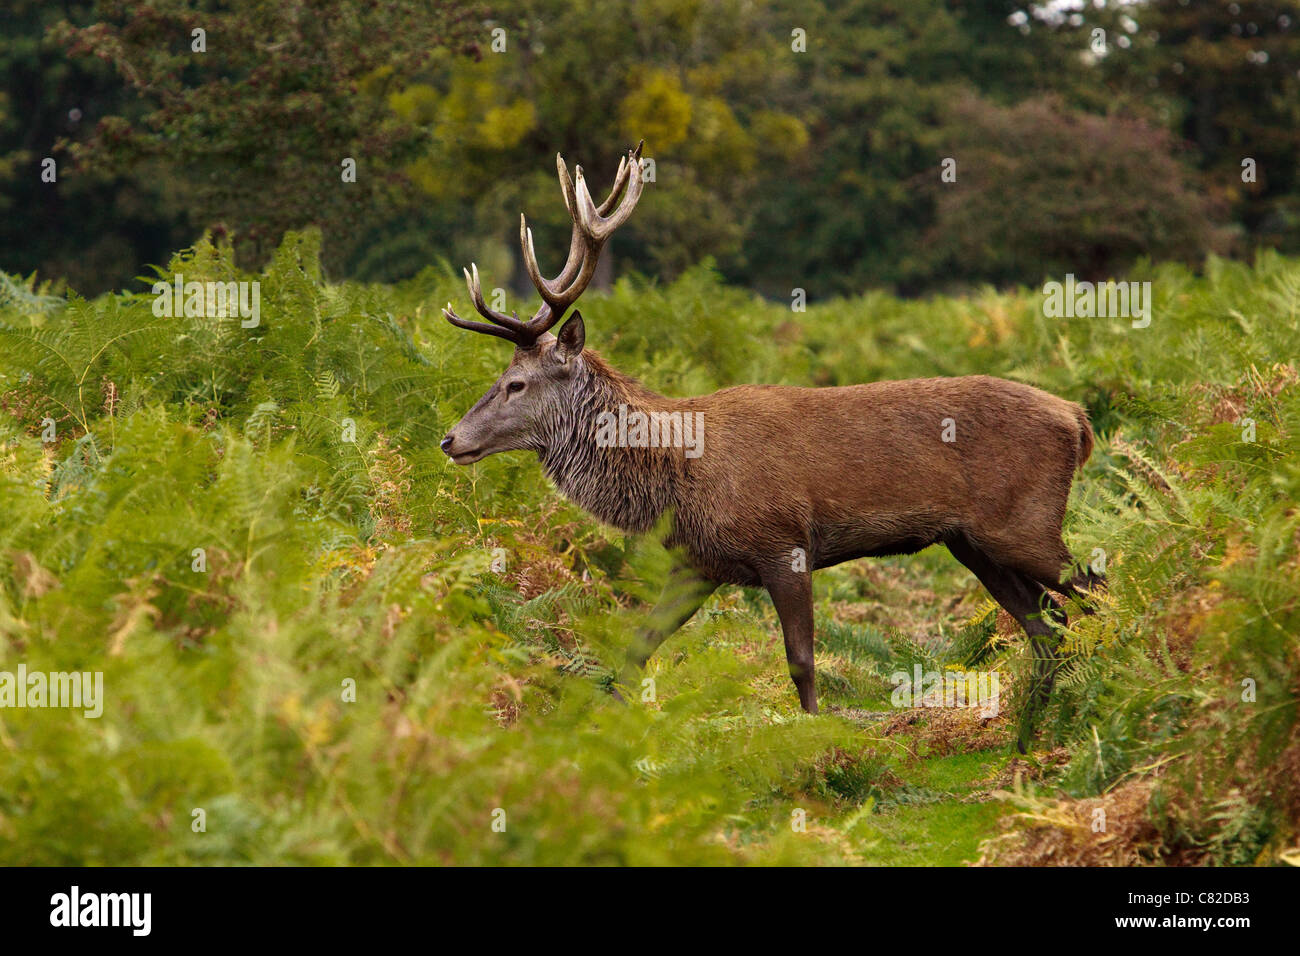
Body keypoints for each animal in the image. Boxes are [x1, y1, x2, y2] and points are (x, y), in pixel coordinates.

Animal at [439, 142, 1104, 751]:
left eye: (516, 384)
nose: (450, 439)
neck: (675, 475)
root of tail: (1077, 418)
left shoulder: (784, 542)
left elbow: (801, 661)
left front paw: (818, 751)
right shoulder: (698, 564)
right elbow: (634, 650)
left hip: (1023, 523)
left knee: (1095, 591)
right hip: (973, 542)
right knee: (1049, 630)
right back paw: (1026, 739)